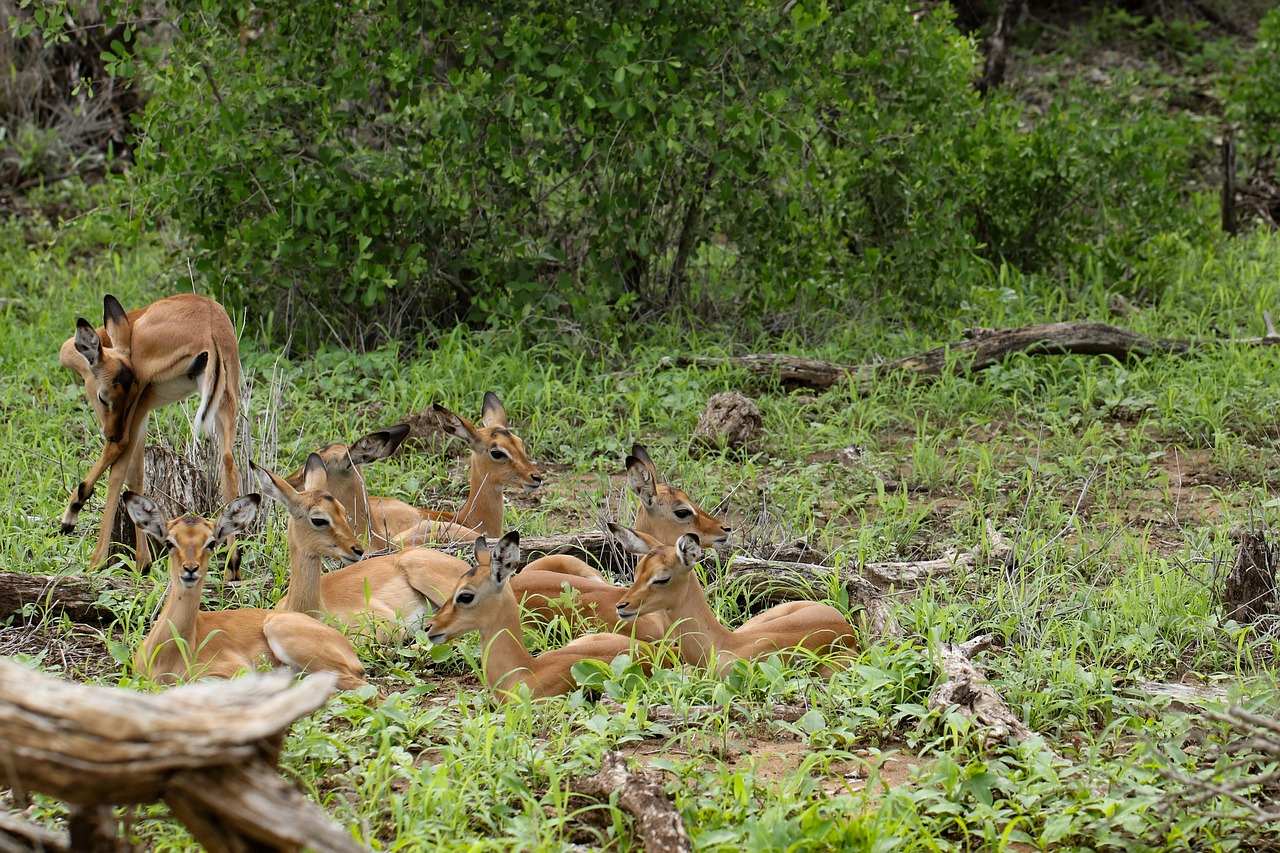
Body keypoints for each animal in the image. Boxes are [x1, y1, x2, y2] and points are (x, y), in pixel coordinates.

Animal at [60, 294, 243, 577]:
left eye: (102, 396)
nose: (111, 433)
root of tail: (210, 328)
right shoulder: (144, 411)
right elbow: (136, 475)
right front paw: (143, 562)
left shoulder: (137, 405)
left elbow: (126, 470)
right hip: (224, 404)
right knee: (228, 464)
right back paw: (231, 571)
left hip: (144, 394)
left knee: (118, 465)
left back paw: (93, 556)